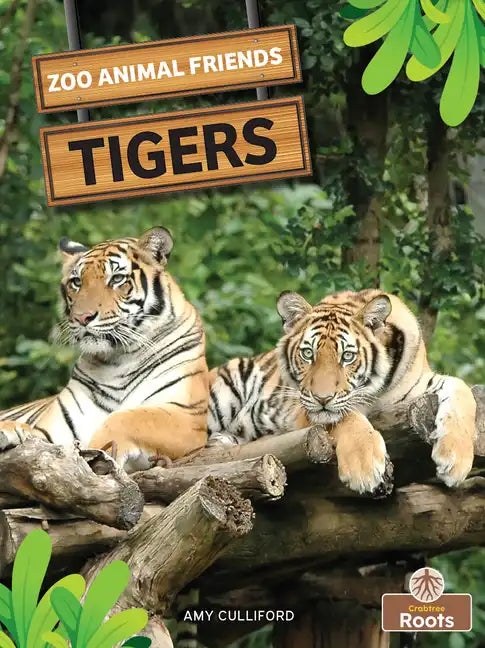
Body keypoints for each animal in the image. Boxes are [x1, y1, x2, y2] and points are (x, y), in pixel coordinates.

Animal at [0, 226, 209, 471]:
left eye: (117, 278)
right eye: (77, 282)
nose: (82, 317)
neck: (119, 358)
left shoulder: (187, 415)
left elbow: (127, 418)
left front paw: (98, 453)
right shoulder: (55, 429)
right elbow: (38, 436)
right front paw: (12, 430)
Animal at [208, 289, 476, 493]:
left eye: (347, 356)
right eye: (308, 353)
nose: (322, 398)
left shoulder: (422, 384)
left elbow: (463, 391)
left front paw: (455, 461)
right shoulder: (304, 407)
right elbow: (348, 417)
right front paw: (365, 468)